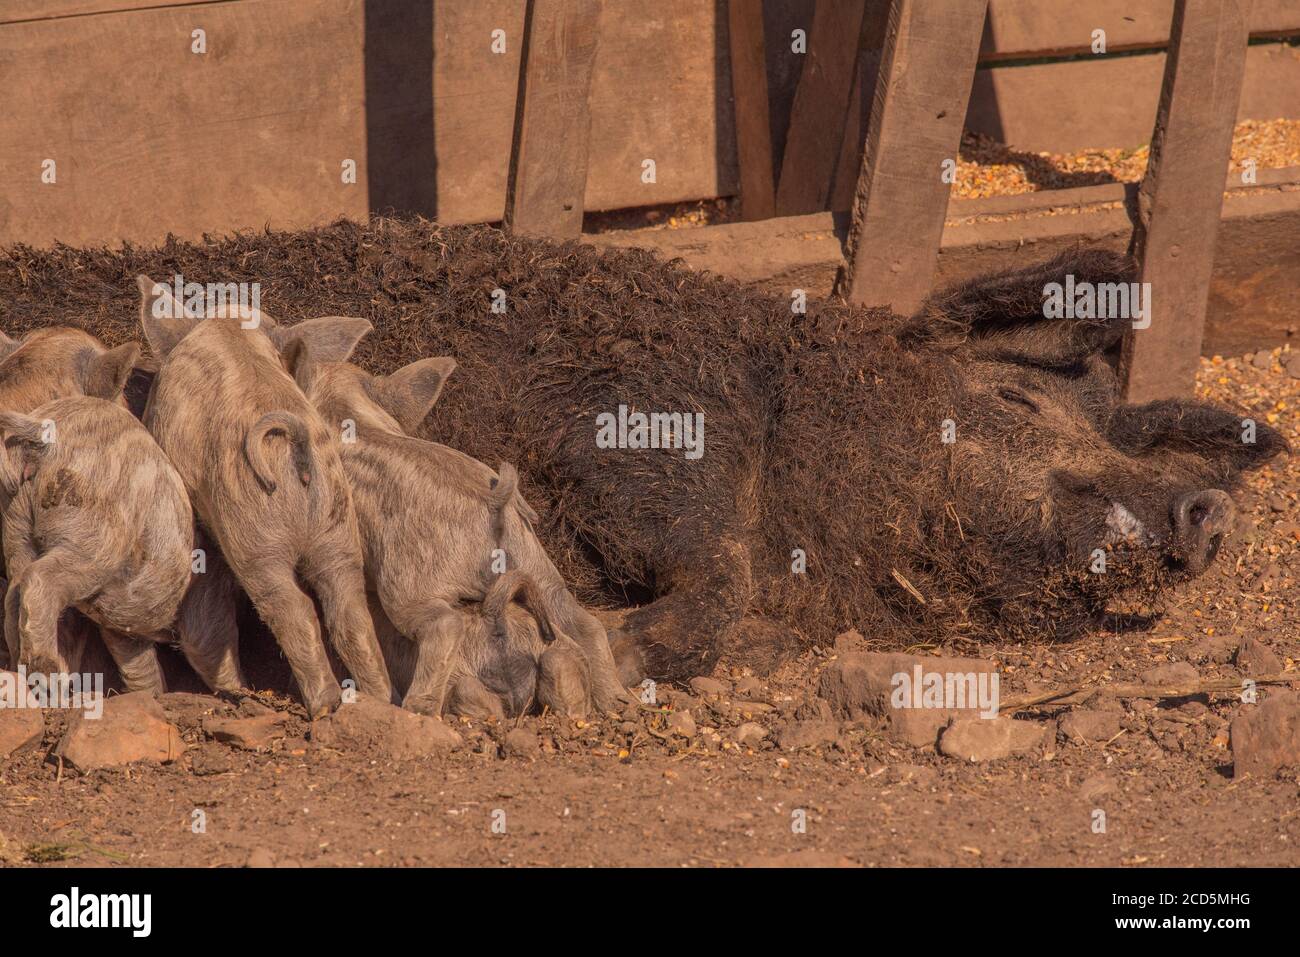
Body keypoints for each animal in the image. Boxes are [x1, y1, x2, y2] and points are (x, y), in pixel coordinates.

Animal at [0, 395, 192, 692]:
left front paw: (151, 693)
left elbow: (136, 661)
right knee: (41, 579)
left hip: (15, 518)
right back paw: (47, 677)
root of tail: (44, 439)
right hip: (94, 531)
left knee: (14, 592)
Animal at [136, 276, 393, 716]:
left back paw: (323, 706)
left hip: (254, 533)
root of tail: (294, 438)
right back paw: (379, 701)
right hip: (338, 525)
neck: (232, 333)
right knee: (350, 612)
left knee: (292, 608)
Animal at [284, 345, 628, 714]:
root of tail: (492, 502)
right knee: (584, 622)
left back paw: (415, 709)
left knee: (444, 626)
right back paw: (620, 704)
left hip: (408, 584)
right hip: (538, 564)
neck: (347, 413)